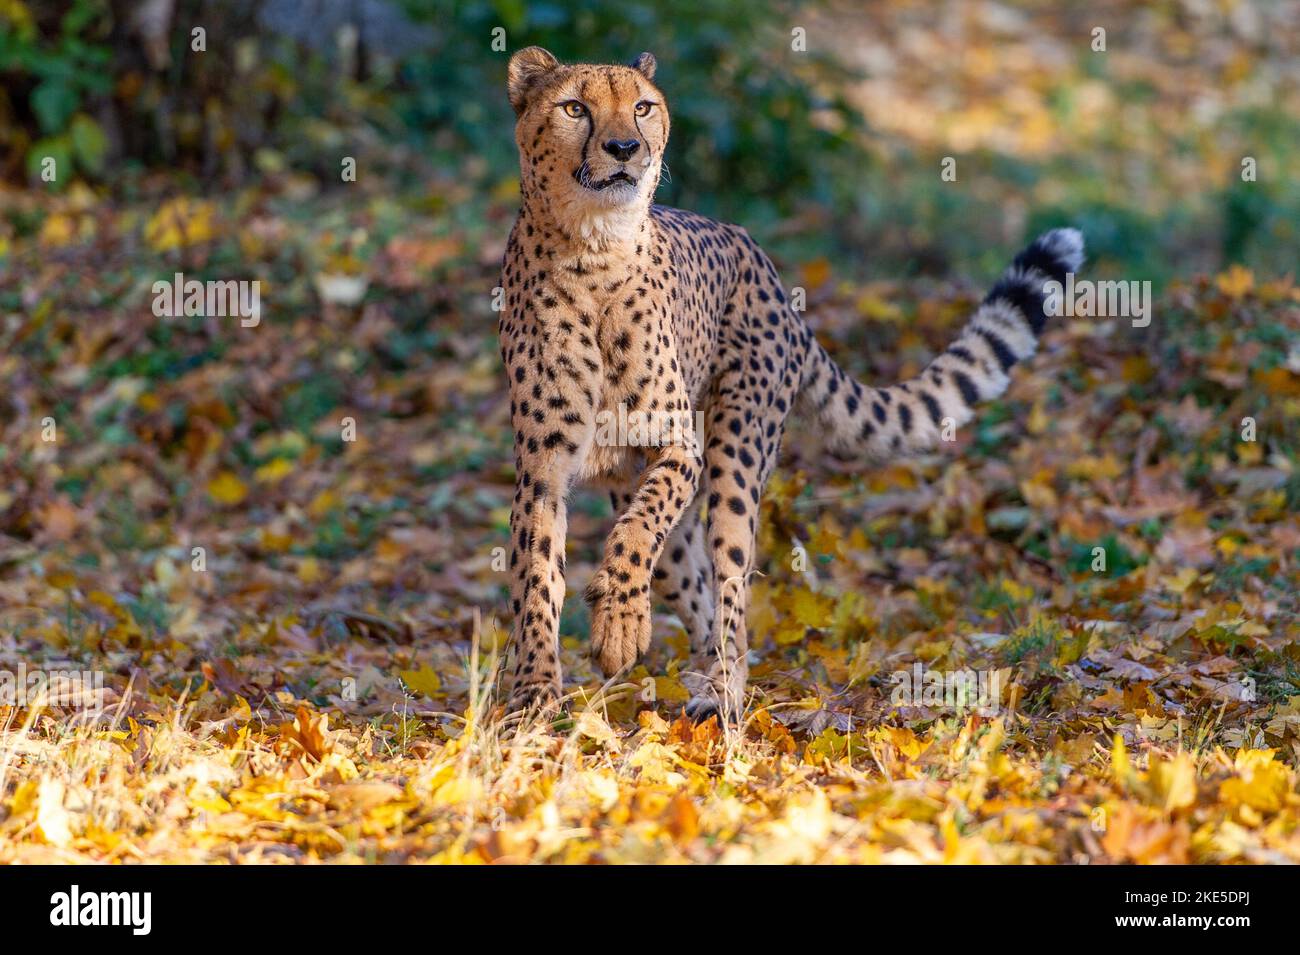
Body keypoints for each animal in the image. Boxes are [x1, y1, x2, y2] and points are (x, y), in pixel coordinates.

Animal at [497, 46, 1084, 720]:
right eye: (574, 108)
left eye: (642, 106)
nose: (624, 147)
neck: (592, 251)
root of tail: (764, 263)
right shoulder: (542, 473)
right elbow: (537, 578)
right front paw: (535, 695)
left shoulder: (679, 448)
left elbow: (636, 536)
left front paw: (618, 623)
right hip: (646, 488)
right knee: (692, 582)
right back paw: (706, 679)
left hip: (735, 453)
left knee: (727, 581)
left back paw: (724, 694)